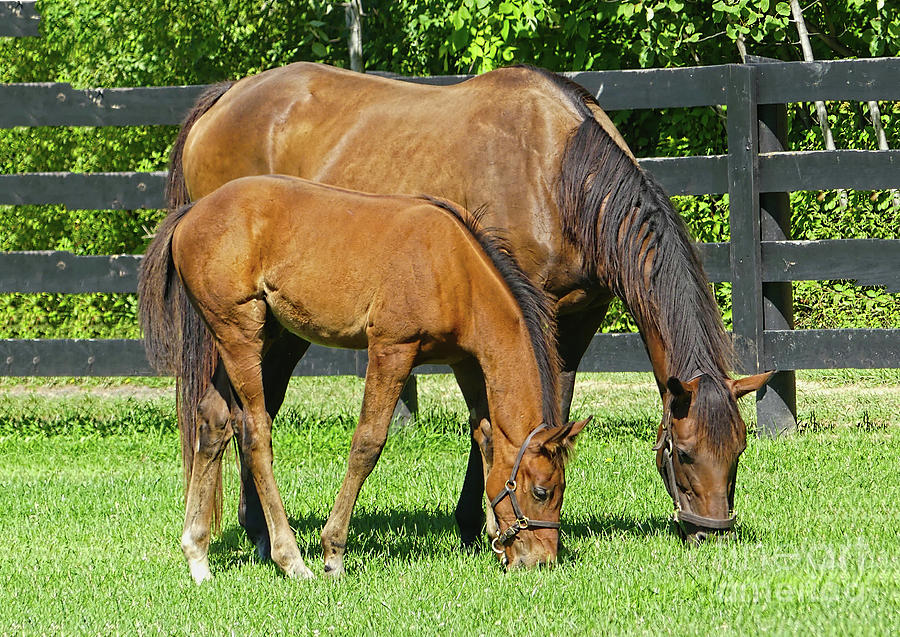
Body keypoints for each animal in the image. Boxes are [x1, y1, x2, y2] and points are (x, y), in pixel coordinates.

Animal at [139, 175, 589, 581]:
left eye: (562, 490)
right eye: (541, 491)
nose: (541, 562)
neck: (456, 271)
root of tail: (192, 213)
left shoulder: (465, 361)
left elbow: (487, 437)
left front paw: (493, 536)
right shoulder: (392, 349)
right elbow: (368, 444)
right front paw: (333, 552)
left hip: (251, 336)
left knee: (213, 420)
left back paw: (197, 556)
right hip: (241, 335)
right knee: (255, 433)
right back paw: (291, 559)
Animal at [162, 62, 772, 548]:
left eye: (739, 452)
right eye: (685, 453)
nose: (711, 534)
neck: (555, 173)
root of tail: (224, 99)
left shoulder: (573, 323)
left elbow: (545, 409)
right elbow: (487, 421)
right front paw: (476, 524)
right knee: (254, 408)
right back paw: (264, 533)